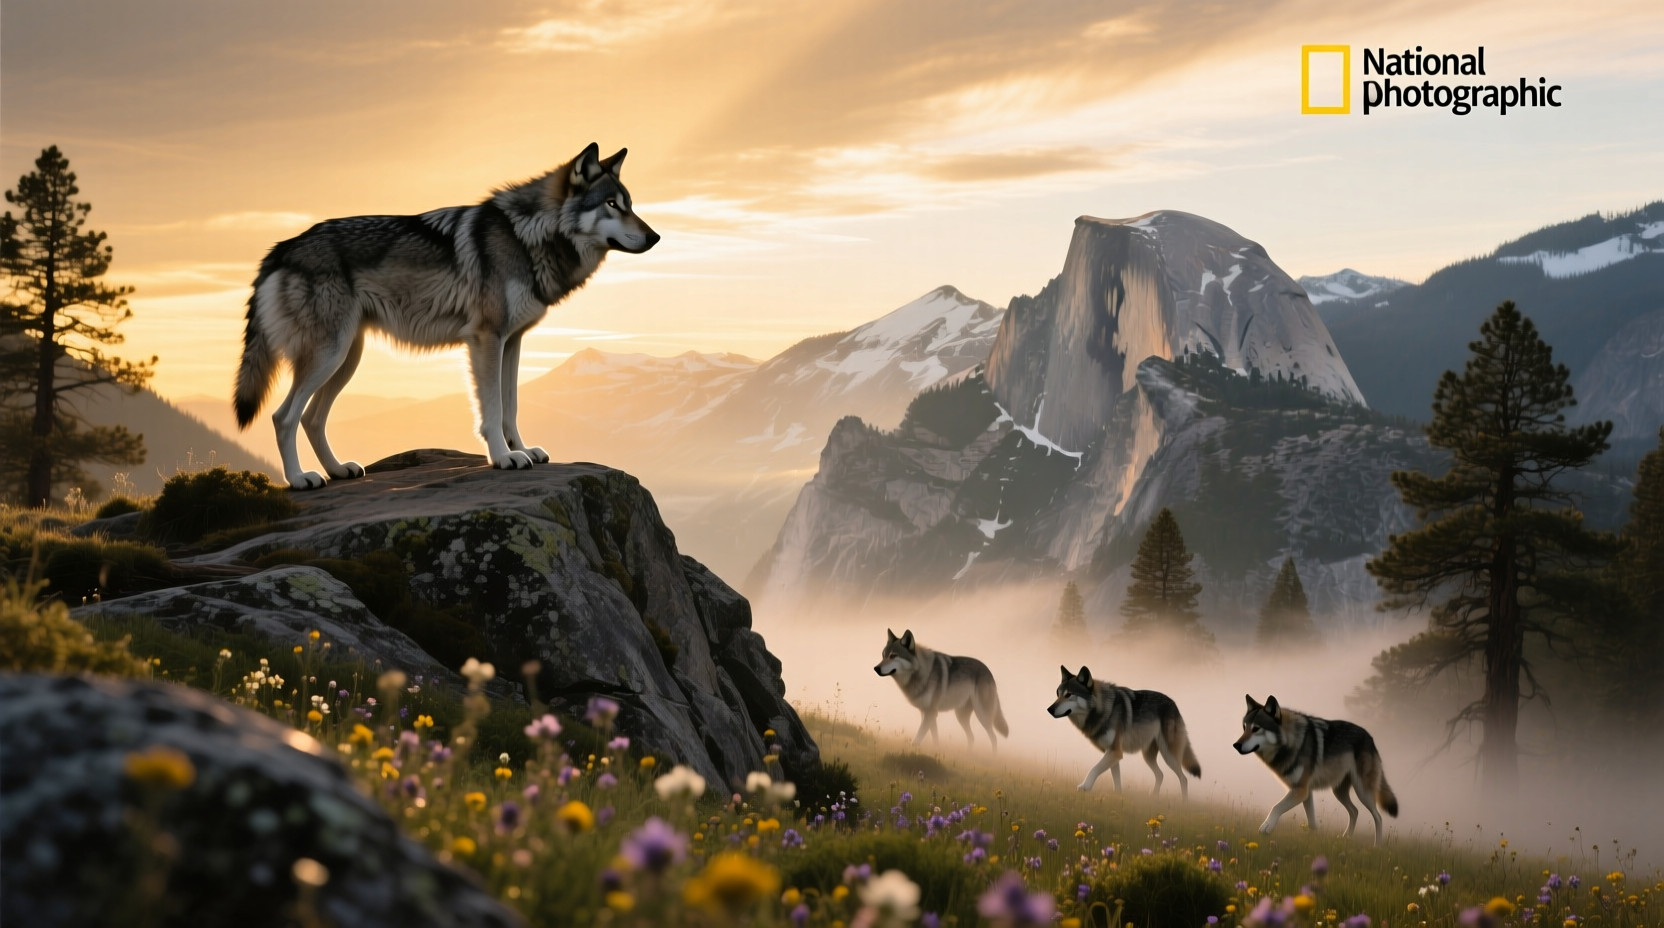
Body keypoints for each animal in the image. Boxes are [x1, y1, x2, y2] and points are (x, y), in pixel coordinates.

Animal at [233, 143, 659, 489]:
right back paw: (300, 479)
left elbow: (511, 407)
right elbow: (492, 408)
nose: (655, 237)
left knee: (312, 419)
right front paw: (503, 458)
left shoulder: (512, 342)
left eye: (629, 204)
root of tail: (282, 248)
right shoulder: (486, 339)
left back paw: (338, 470)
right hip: (329, 355)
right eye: (612, 205)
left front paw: (522, 451)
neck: (526, 236)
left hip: (345, 359)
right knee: (284, 417)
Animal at [874, 629, 1009, 752]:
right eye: (883, 656)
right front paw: (935, 753)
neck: (922, 672)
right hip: (961, 716)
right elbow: (934, 738)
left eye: (893, 656)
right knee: (972, 737)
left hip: (982, 715)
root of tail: (989, 672)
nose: (876, 668)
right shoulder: (926, 712)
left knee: (994, 738)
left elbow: (918, 738)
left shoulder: (931, 713)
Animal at [1047, 666, 1202, 797]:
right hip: (1148, 756)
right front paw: (1117, 797)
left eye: (1069, 695)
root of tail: (1174, 705)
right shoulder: (1112, 753)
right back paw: (1153, 797)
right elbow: (1116, 781)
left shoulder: (1115, 752)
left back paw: (1184, 803)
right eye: (1057, 694)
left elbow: (1094, 769)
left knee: (1183, 778)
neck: (1103, 709)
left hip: (1169, 756)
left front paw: (1085, 787)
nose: (1049, 709)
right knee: (1160, 775)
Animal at [1234, 695, 1399, 846]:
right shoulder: (1305, 792)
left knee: (1378, 817)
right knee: (1354, 811)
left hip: (1363, 792)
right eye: (1244, 728)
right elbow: (1312, 823)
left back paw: (1377, 846)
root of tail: (1371, 739)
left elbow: (1276, 807)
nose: (1236, 745)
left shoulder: (1300, 790)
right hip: (1338, 791)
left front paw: (1266, 827)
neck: (1291, 742)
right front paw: (1313, 840)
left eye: (1256, 729)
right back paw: (1345, 838)